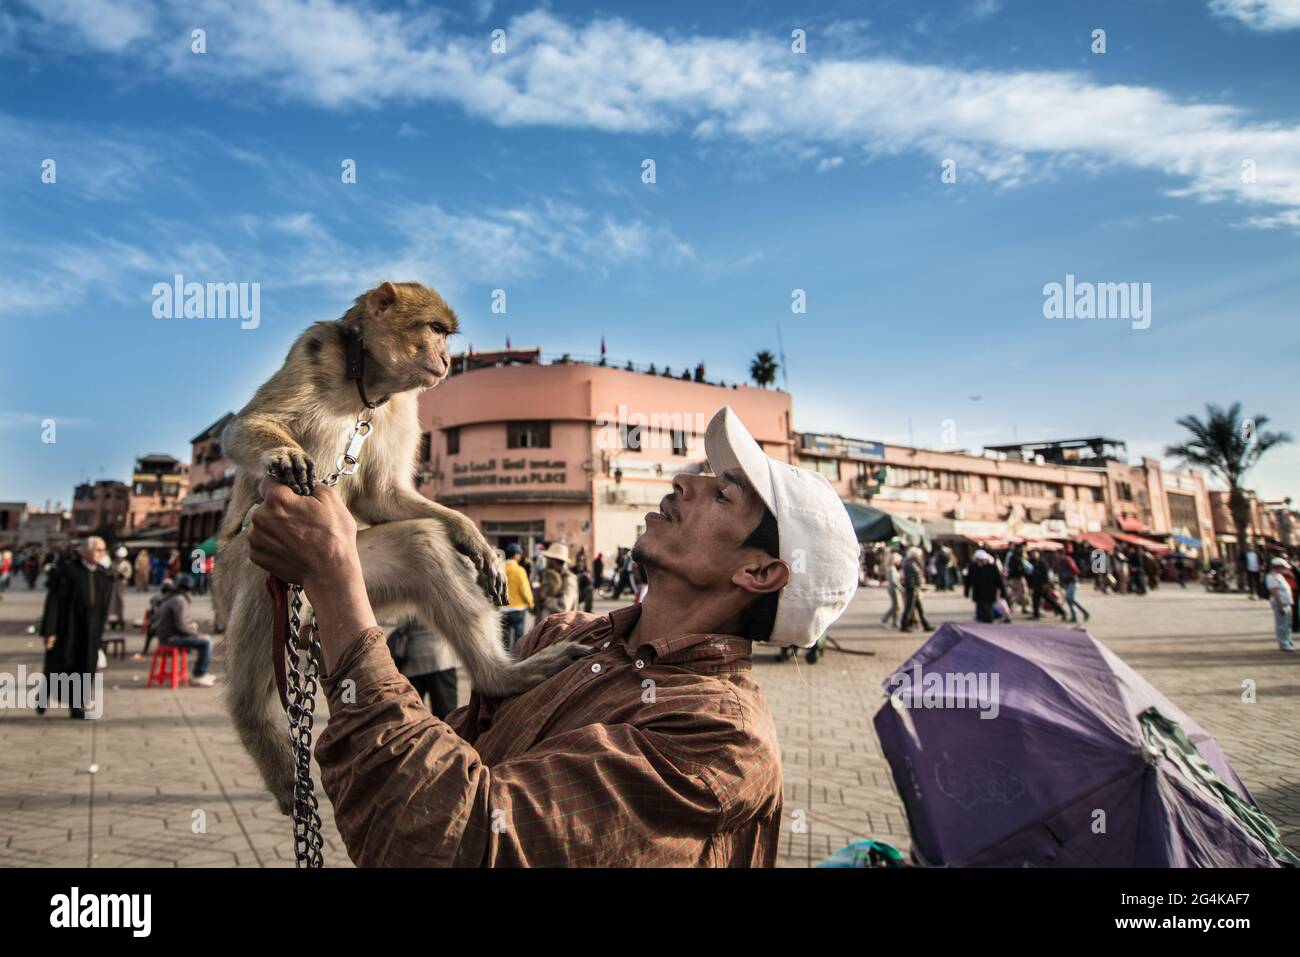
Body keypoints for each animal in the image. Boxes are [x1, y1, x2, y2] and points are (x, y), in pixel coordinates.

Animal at [213, 281, 591, 815]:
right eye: (434, 330)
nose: (447, 358)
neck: (364, 383)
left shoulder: (400, 404)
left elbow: (382, 497)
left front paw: (469, 533)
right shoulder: (313, 349)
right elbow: (243, 428)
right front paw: (280, 453)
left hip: (349, 575)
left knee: (420, 544)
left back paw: (500, 678)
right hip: (237, 577)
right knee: (251, 563)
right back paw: (267, 745)